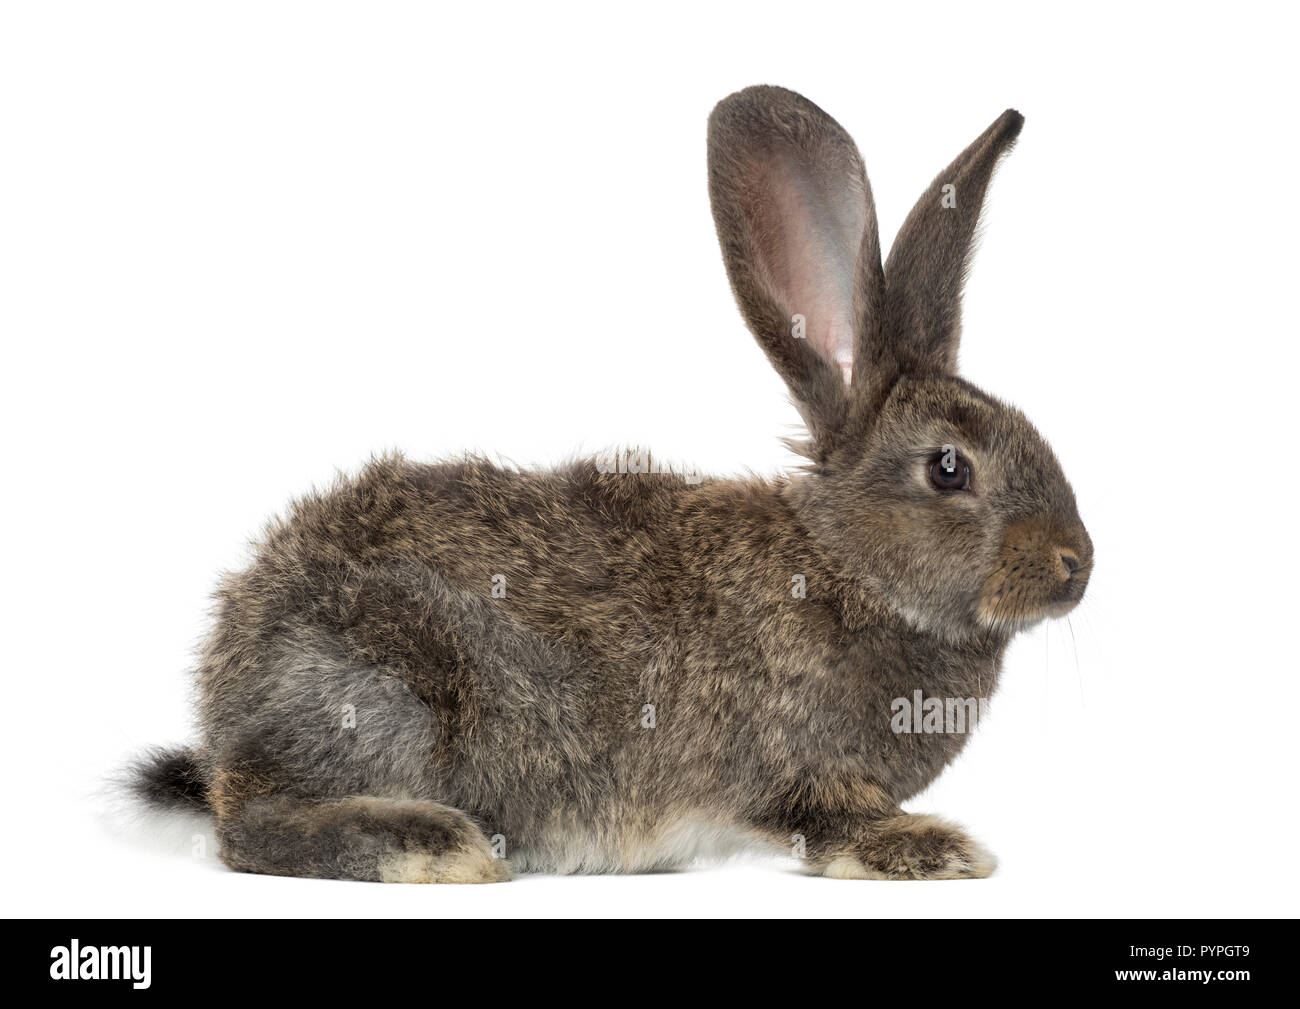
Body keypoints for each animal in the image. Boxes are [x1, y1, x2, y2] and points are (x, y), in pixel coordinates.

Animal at [132, 84, 1092, 883]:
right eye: (949, 467)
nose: (1077, 563)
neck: (848, 566)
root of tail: (226, 688)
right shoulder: (797, 774)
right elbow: (829, 824)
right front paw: (935, 847)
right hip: (384, 695)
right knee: (251, 825)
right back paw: (435, 844)